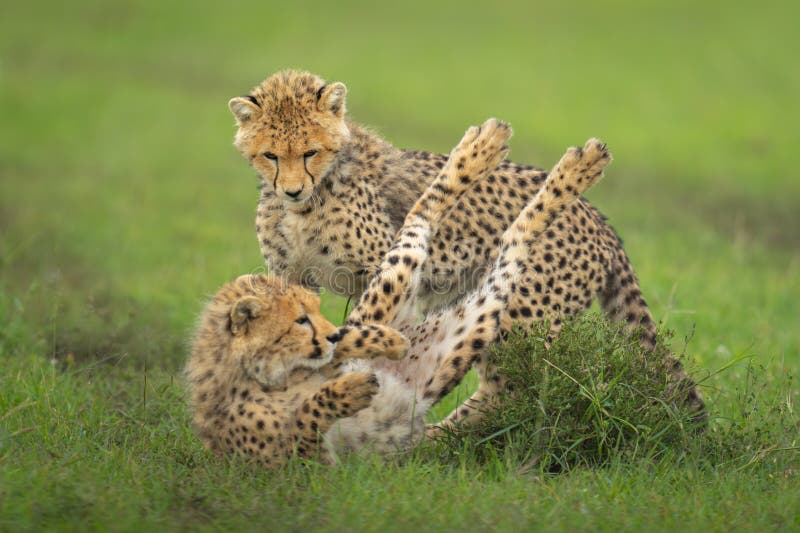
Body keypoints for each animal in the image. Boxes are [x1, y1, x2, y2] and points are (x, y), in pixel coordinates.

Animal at [227, 70, 705, 429]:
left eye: (310, 151)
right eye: (270, 155)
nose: (291, 190)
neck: (305, 204)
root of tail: (599, 218)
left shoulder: (378, 271)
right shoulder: (289, 277)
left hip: (521, 318)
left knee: (503, 391)